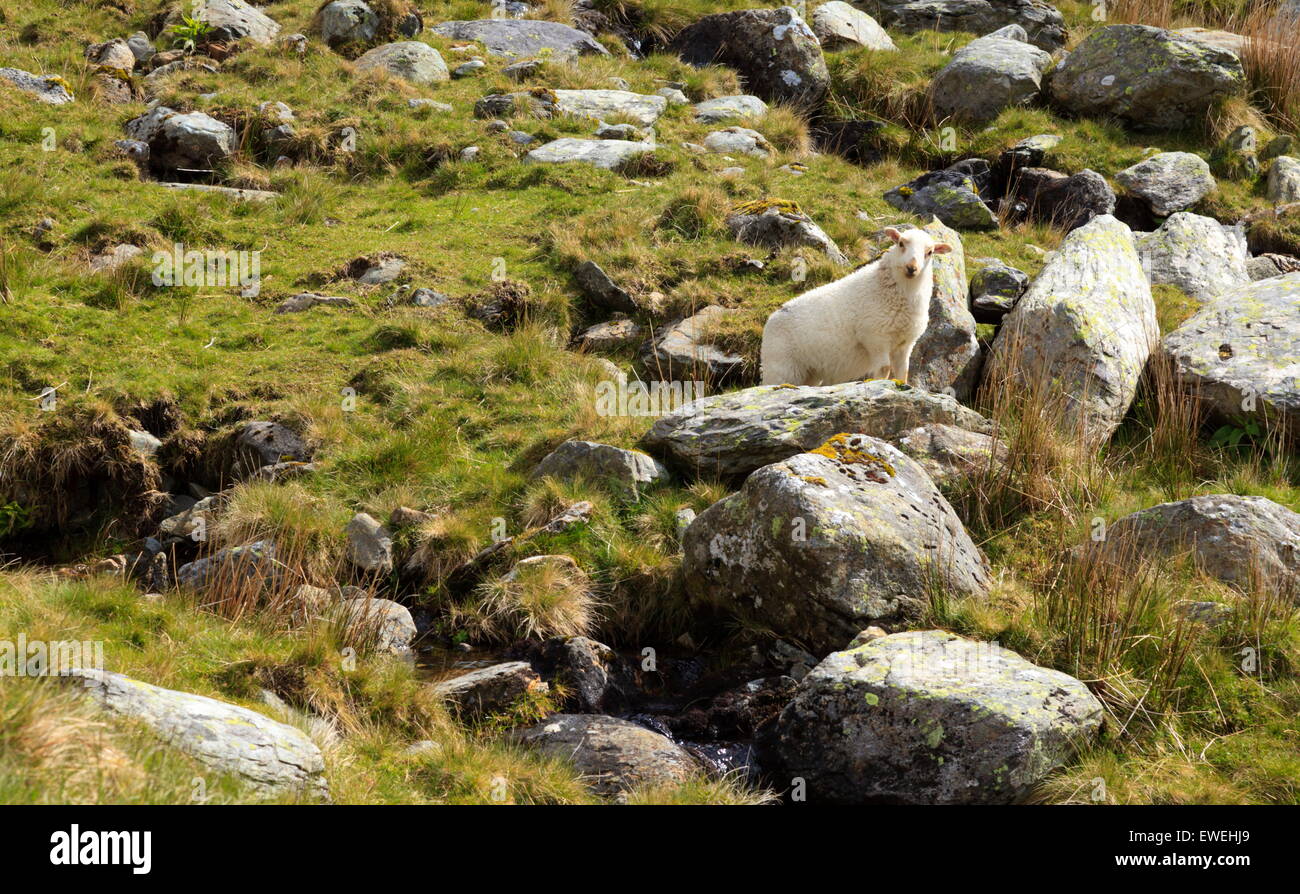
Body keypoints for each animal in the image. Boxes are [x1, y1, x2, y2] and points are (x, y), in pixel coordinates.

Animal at [759, 226, 951, 387]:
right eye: (901, 244)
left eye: (930, 252)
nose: (911, 268)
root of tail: (773, 317)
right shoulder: (875, 337)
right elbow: (884, 369)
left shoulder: (906, 342)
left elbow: (903, 371)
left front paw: (902, 386)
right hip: (781, 367)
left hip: (809, 371)